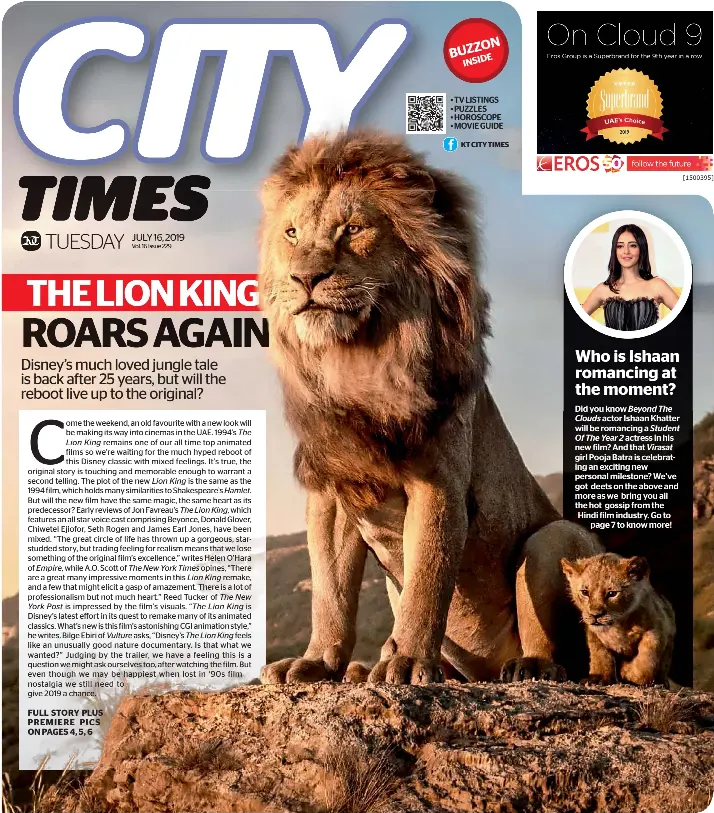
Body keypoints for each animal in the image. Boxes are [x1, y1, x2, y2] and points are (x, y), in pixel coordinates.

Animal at [258, 131, 602, 685]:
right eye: (291, 233)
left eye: (353, 229)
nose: (304, 278)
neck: (357, 361)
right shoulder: (332, 490)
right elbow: (330, 592)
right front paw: (317, 662)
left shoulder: (438, 480)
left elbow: (427, 579)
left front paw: (405, 662)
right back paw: (361, 670)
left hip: (552, 539)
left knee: (559, 648)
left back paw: (527, 667)